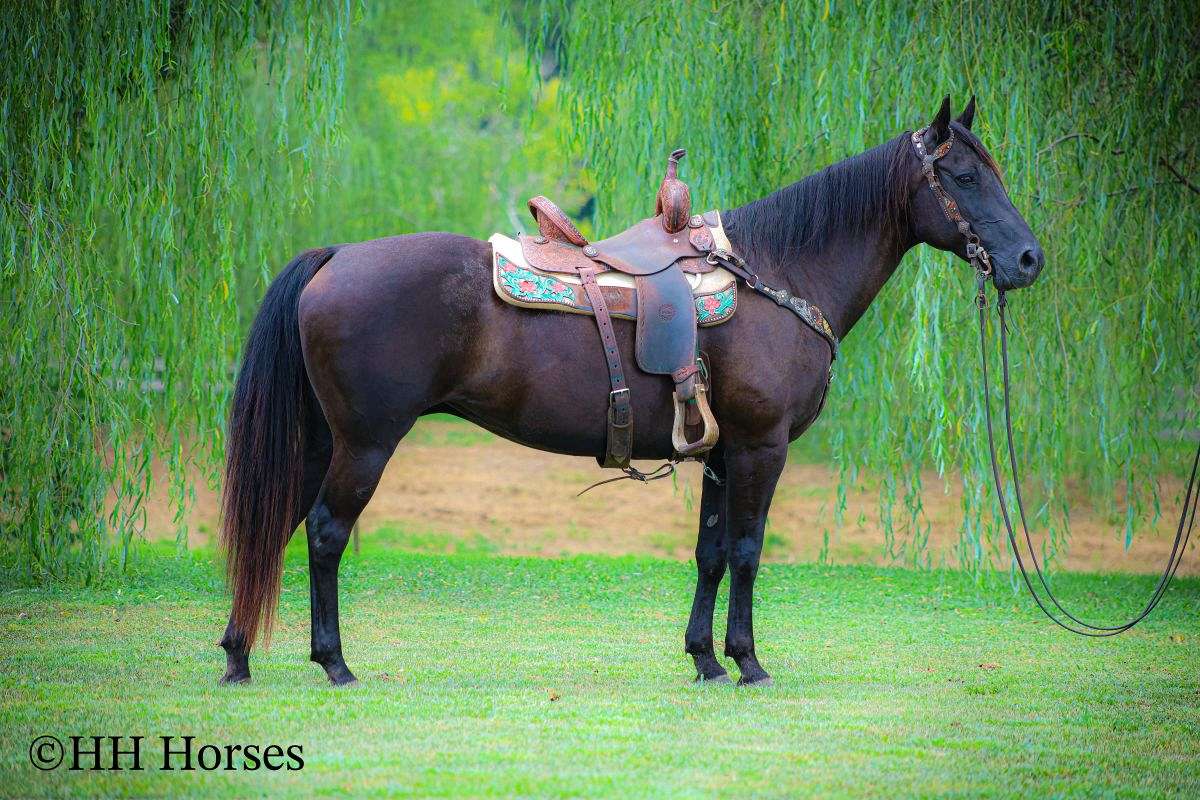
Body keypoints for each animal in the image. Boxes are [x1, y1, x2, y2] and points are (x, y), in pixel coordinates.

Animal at [218, 96, 1044, 687]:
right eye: (964, 177)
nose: (1029, 260)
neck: (780, 272)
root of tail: (336, 257)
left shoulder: (722, 455)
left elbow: (711, 553)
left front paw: (705, 658)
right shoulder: (761, 448)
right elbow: (747, 550)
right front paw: (748, 661)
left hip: (321, 440)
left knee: (278, 523)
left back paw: (238, 654)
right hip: (366, 443)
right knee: (326, 532)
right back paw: (333, 662)